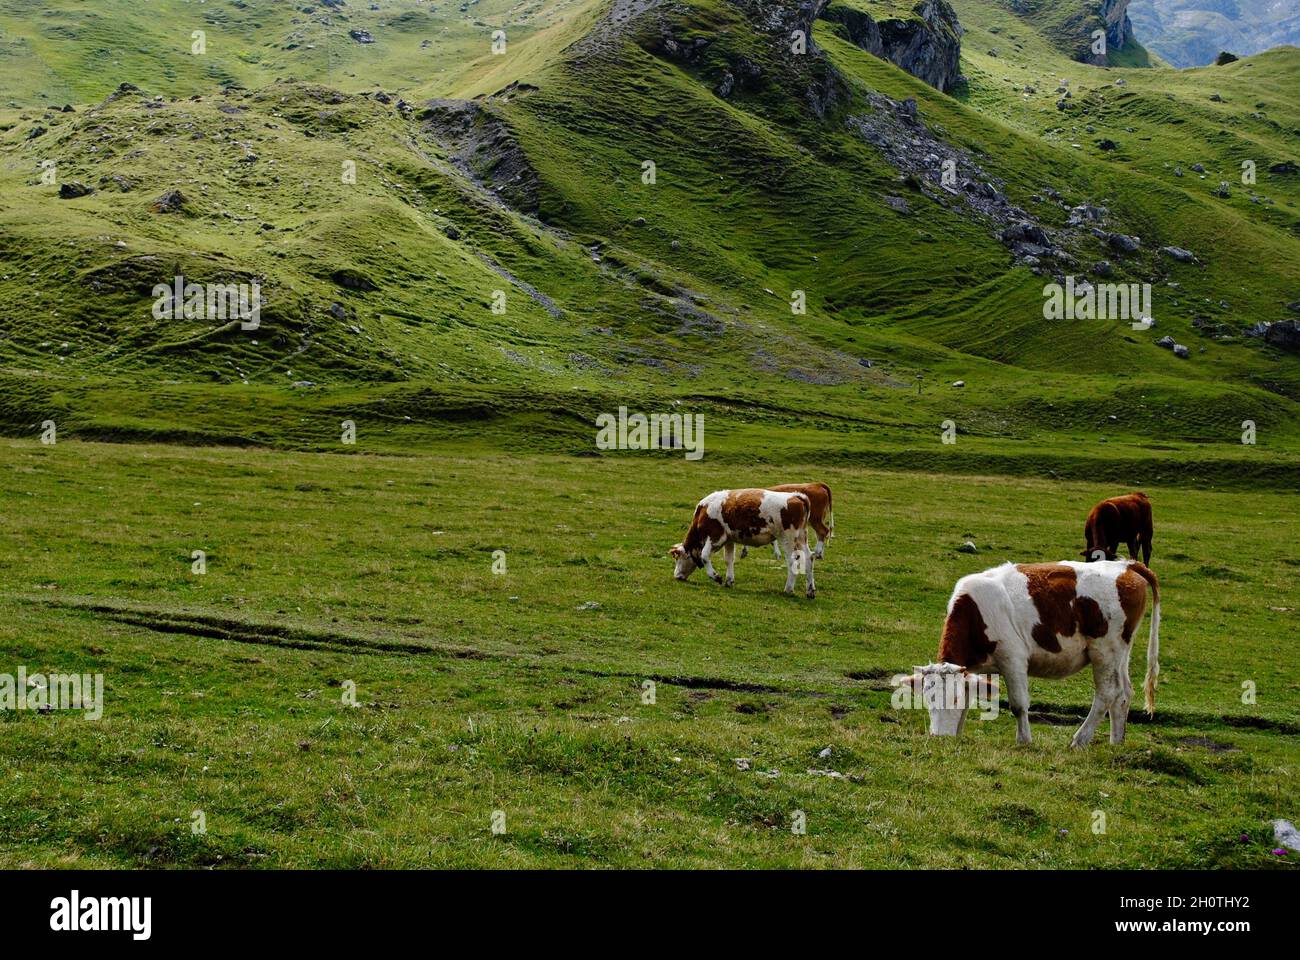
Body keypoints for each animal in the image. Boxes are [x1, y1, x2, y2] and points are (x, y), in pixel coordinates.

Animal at [670, 488, 816, 597]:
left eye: (678, 558)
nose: (676, 576)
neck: (703, 511)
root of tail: (796, 496)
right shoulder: (729, 539)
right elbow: (729, 559)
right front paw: (729, 581)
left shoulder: (715, 536)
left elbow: (705, 556)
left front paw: (716, 577)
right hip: (801, 538)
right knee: (809, 557)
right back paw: (810, 591)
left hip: (787, 539)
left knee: (793, 561)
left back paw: (788, 589)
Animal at [893, 559, 1160, 747]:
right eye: (928, 699)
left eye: (953, 699)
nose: (940, 737)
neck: (976, 614)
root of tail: (1126, 566)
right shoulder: (972, 668)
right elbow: (972, 699)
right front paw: (958, 732)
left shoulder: (1013, 659)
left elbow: (1018, 705)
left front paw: (1024, 741)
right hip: (1120, 653)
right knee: (1123, 693)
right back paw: (1116, 742)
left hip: (1105, 650)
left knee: (1107, 693)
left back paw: (1079, 740)